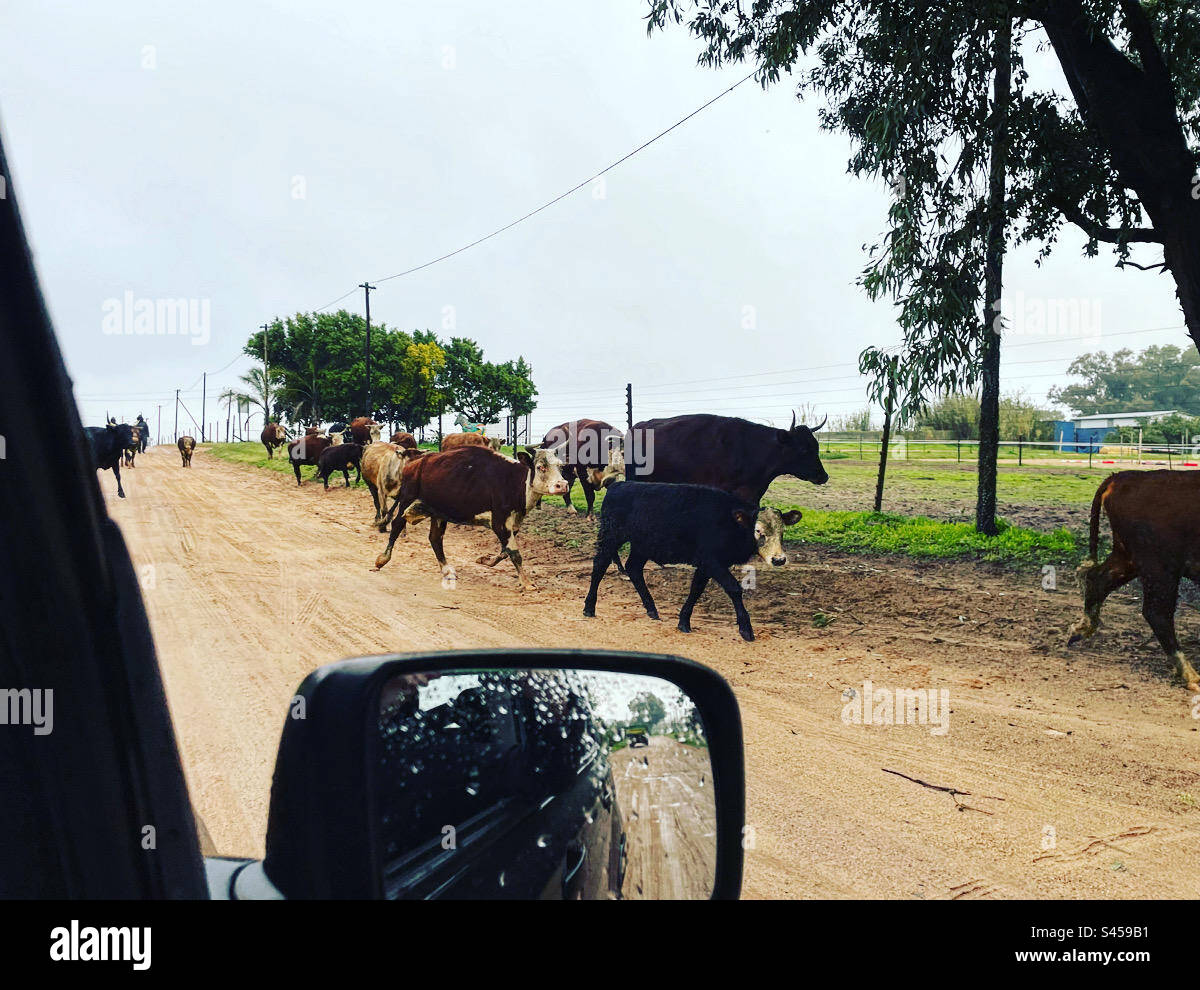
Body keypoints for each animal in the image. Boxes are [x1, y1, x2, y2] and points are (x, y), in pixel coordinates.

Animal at [374, 445, 569, 591]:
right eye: (541, 466)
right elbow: (514, 553)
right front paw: (527, 583)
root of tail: (414, 464)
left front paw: (485, 560)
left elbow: (505, 551)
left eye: (561, 466)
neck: (516, 483)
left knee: (435, 538)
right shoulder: (499, 522)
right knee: (397, 525)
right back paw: (383, 559)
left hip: (437, 511)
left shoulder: (513, 524)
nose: (562, 485)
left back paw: (447, 570)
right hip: (407, 499)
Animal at [583, 481, 803, 641]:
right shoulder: (712, 561)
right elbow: (733, 588)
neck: (730, 523)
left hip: (642, 545)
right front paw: (746, 629)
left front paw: (684, 621)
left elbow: (696, 589)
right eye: (758, 530)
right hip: (611, 536)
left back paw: (652, 609)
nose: (779, 559)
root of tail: (618, 485)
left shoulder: (705, 564)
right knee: (599, 565)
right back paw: (589, 607)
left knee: (633, 569)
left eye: (782, 531)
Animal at [1067, 471, 1200, 692]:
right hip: (1160, 568)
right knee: (1157, 613)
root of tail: (1124, 476)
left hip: (1127, 558)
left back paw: (1082, 628)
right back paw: (1190, 675)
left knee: (1098, 580)